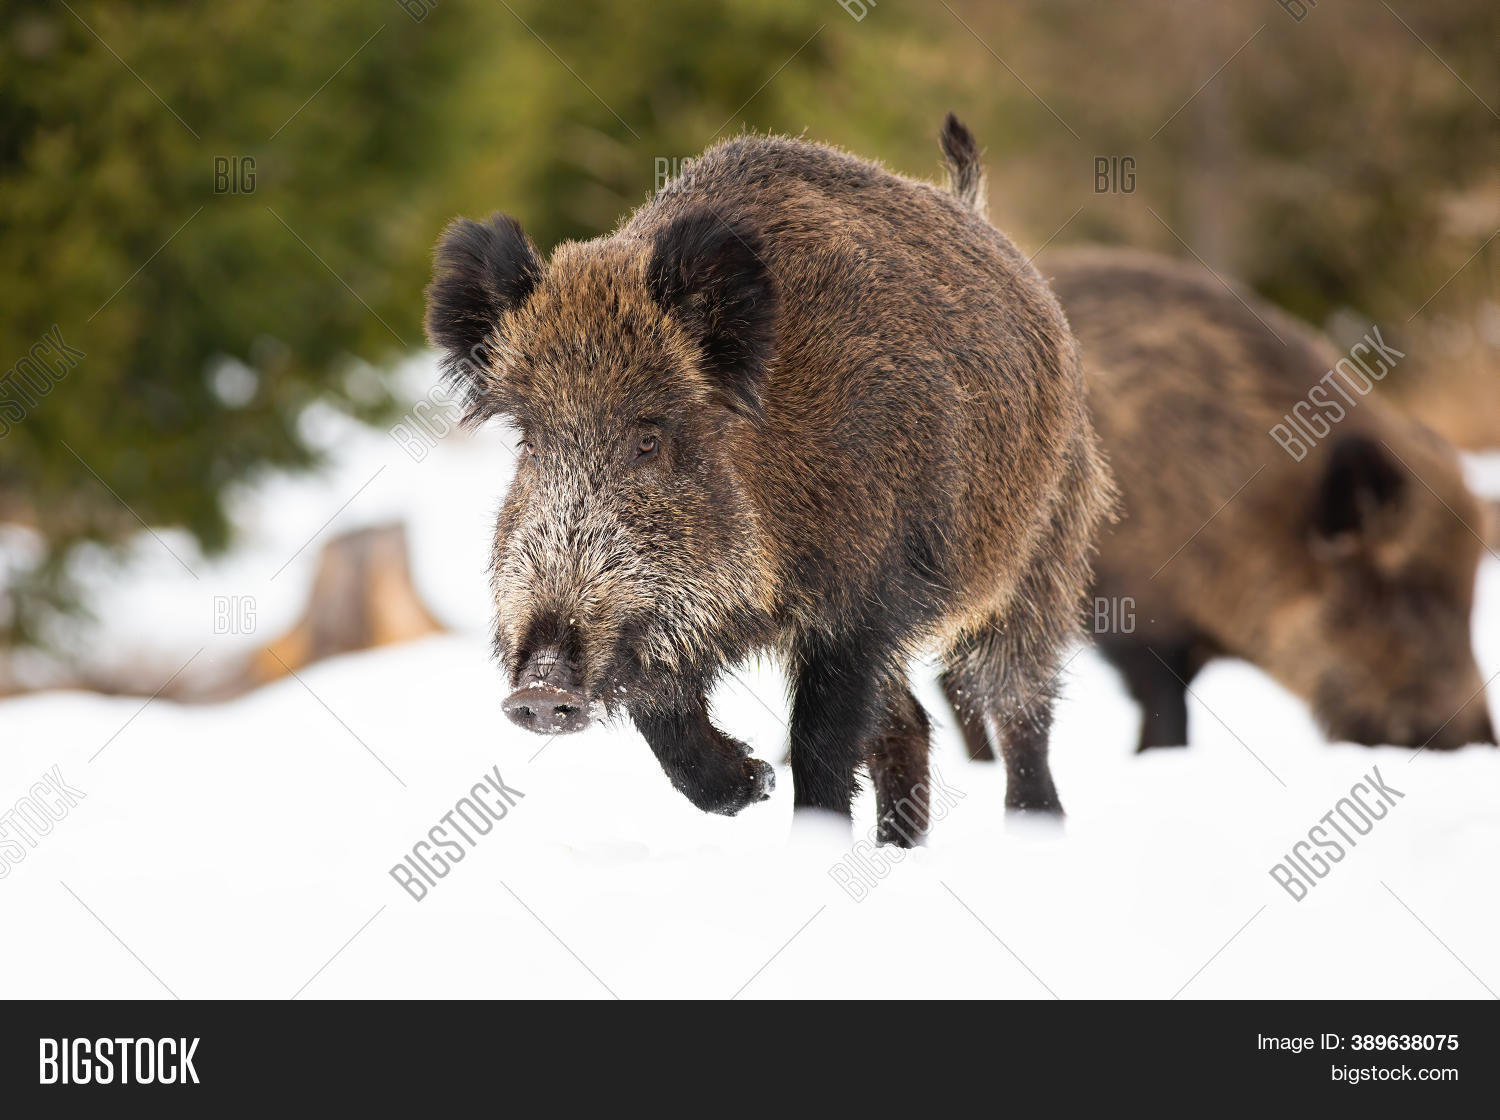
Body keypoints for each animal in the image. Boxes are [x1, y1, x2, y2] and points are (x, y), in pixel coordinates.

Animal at [423, 114, 1114, 843]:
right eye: (529, 441)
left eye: (649, 438)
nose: (540, 689)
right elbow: (666, 724)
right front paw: (753, 783)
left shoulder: (862, 600)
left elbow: (820, 739)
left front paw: (803, 830)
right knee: (910, 725)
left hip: (1043, 554)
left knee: (1018, 707)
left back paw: (1034, 828)